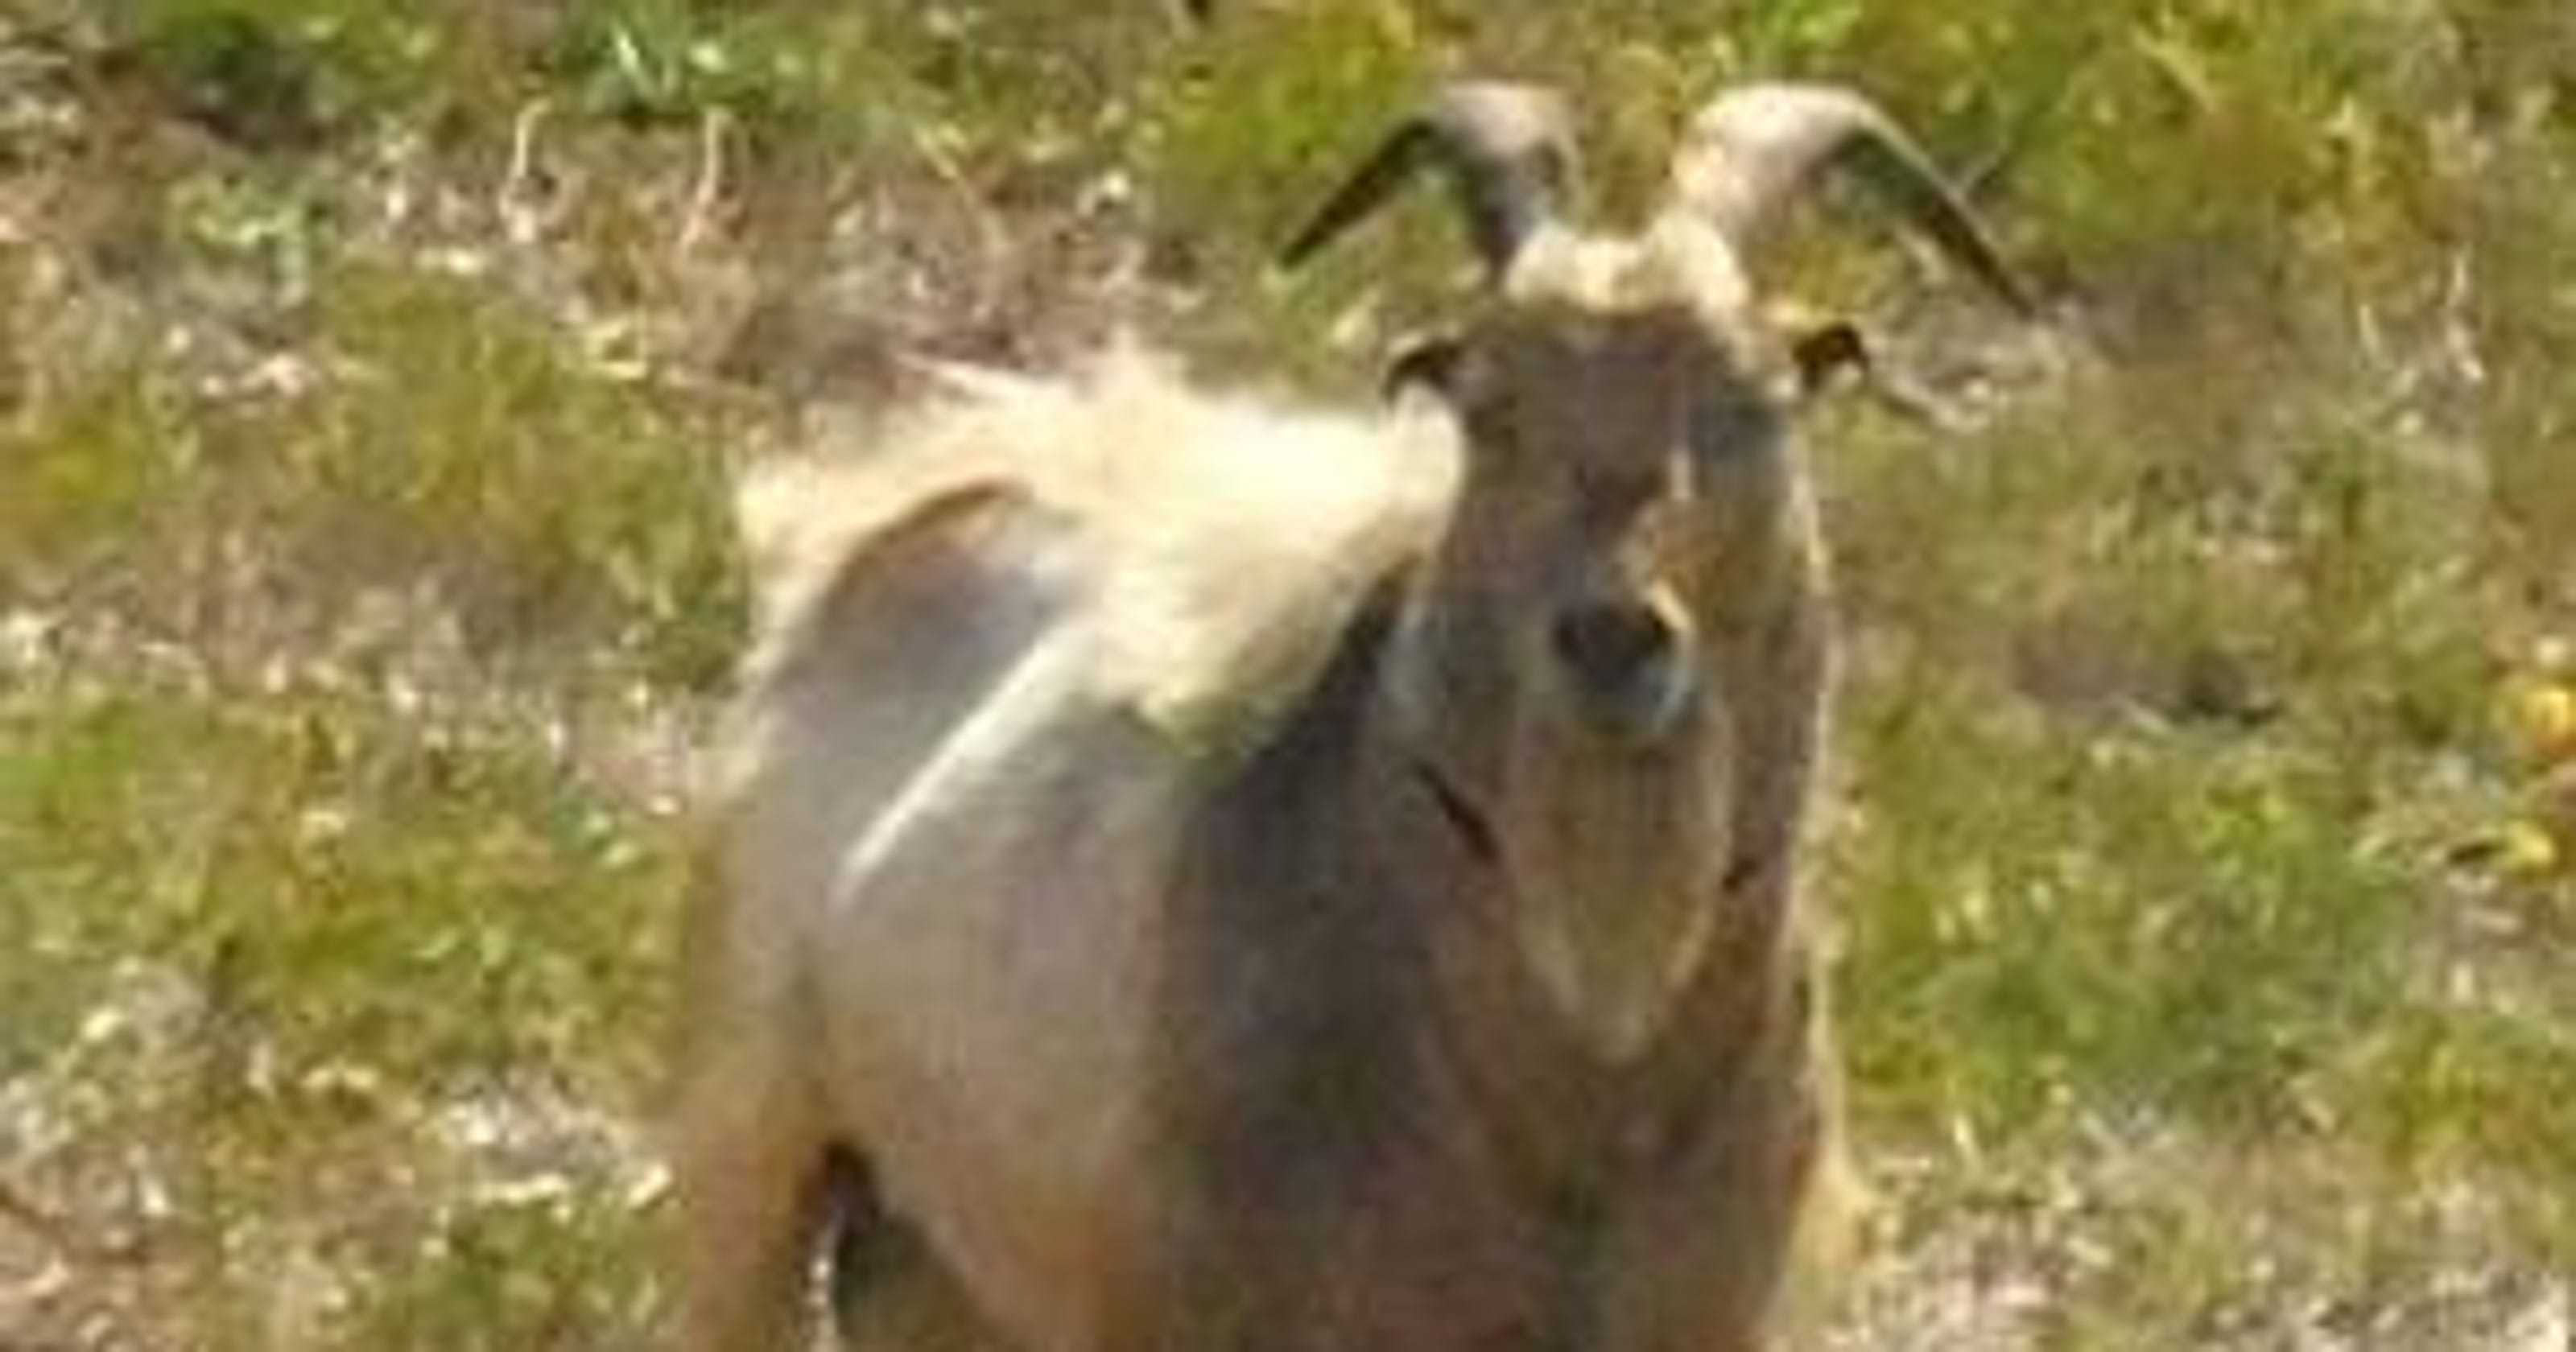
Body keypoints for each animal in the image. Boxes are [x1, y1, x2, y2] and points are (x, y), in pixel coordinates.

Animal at [674, 80, 2029, 1352]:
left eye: (1756, 404)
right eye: (1489, 408)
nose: (1611, 641)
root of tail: (887, 507)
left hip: (942, 1263)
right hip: (753, 1147)